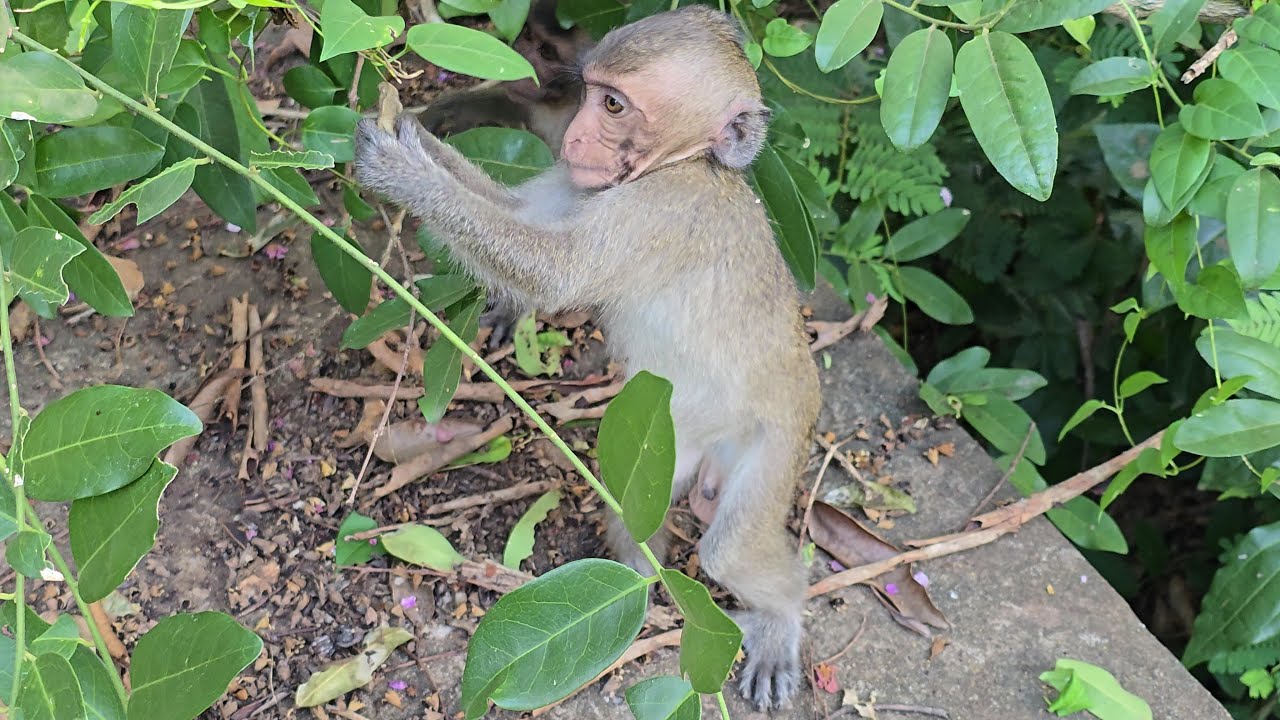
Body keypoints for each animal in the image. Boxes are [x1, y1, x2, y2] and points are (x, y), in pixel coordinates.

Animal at [353, 6, 821, 710]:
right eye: (592, 93)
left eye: (614, 105)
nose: (574, 135)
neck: (687, 164)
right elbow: (518, 214)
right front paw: (412, 128)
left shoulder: (662, 210)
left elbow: (553, 274)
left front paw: (399, 170)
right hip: (669, 444)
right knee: (637, 504)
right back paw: (637, 574)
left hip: (779, 441)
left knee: (731, 552)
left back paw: (778, 617)